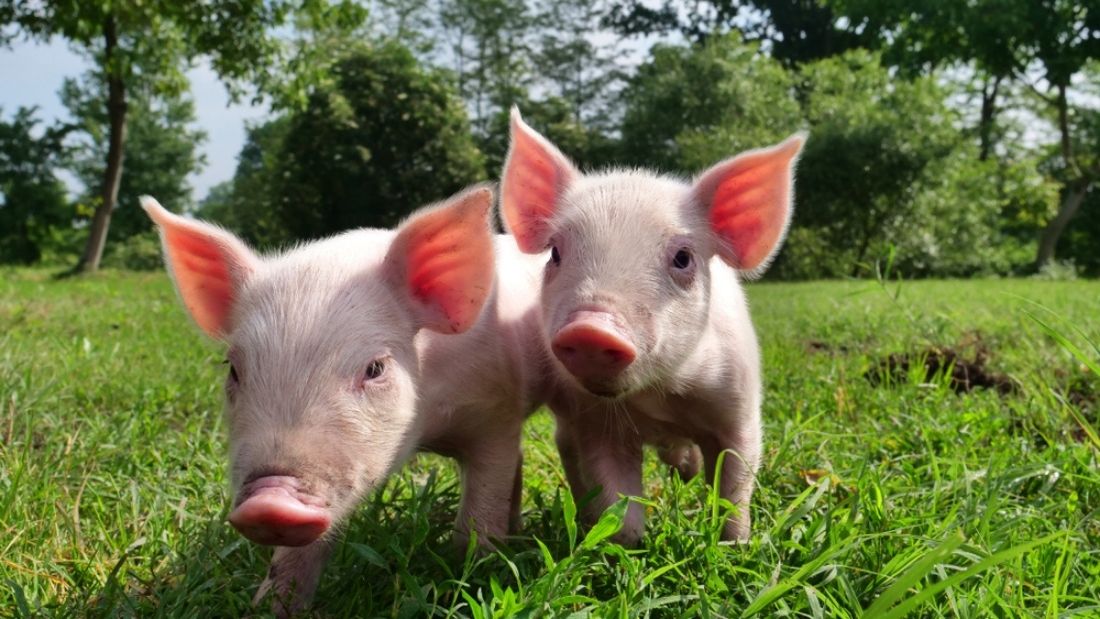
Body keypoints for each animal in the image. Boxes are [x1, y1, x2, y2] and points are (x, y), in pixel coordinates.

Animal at [143, 185, 548, 615]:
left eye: (375, 368)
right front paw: (271, 606)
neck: (427, 430)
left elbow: (479, 513)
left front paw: (478, 578)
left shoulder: (496, 414)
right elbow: (299, 554)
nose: (269, 502)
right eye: (233, 369)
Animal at [499, 109, 804, 545]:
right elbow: (617, 501)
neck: (660, 398)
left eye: (683, 258)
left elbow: (735, 483)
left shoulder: (739, 406)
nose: (591, 329)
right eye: (555, 252)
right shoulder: (595, 422)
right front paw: (626, 545)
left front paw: (735, 544)